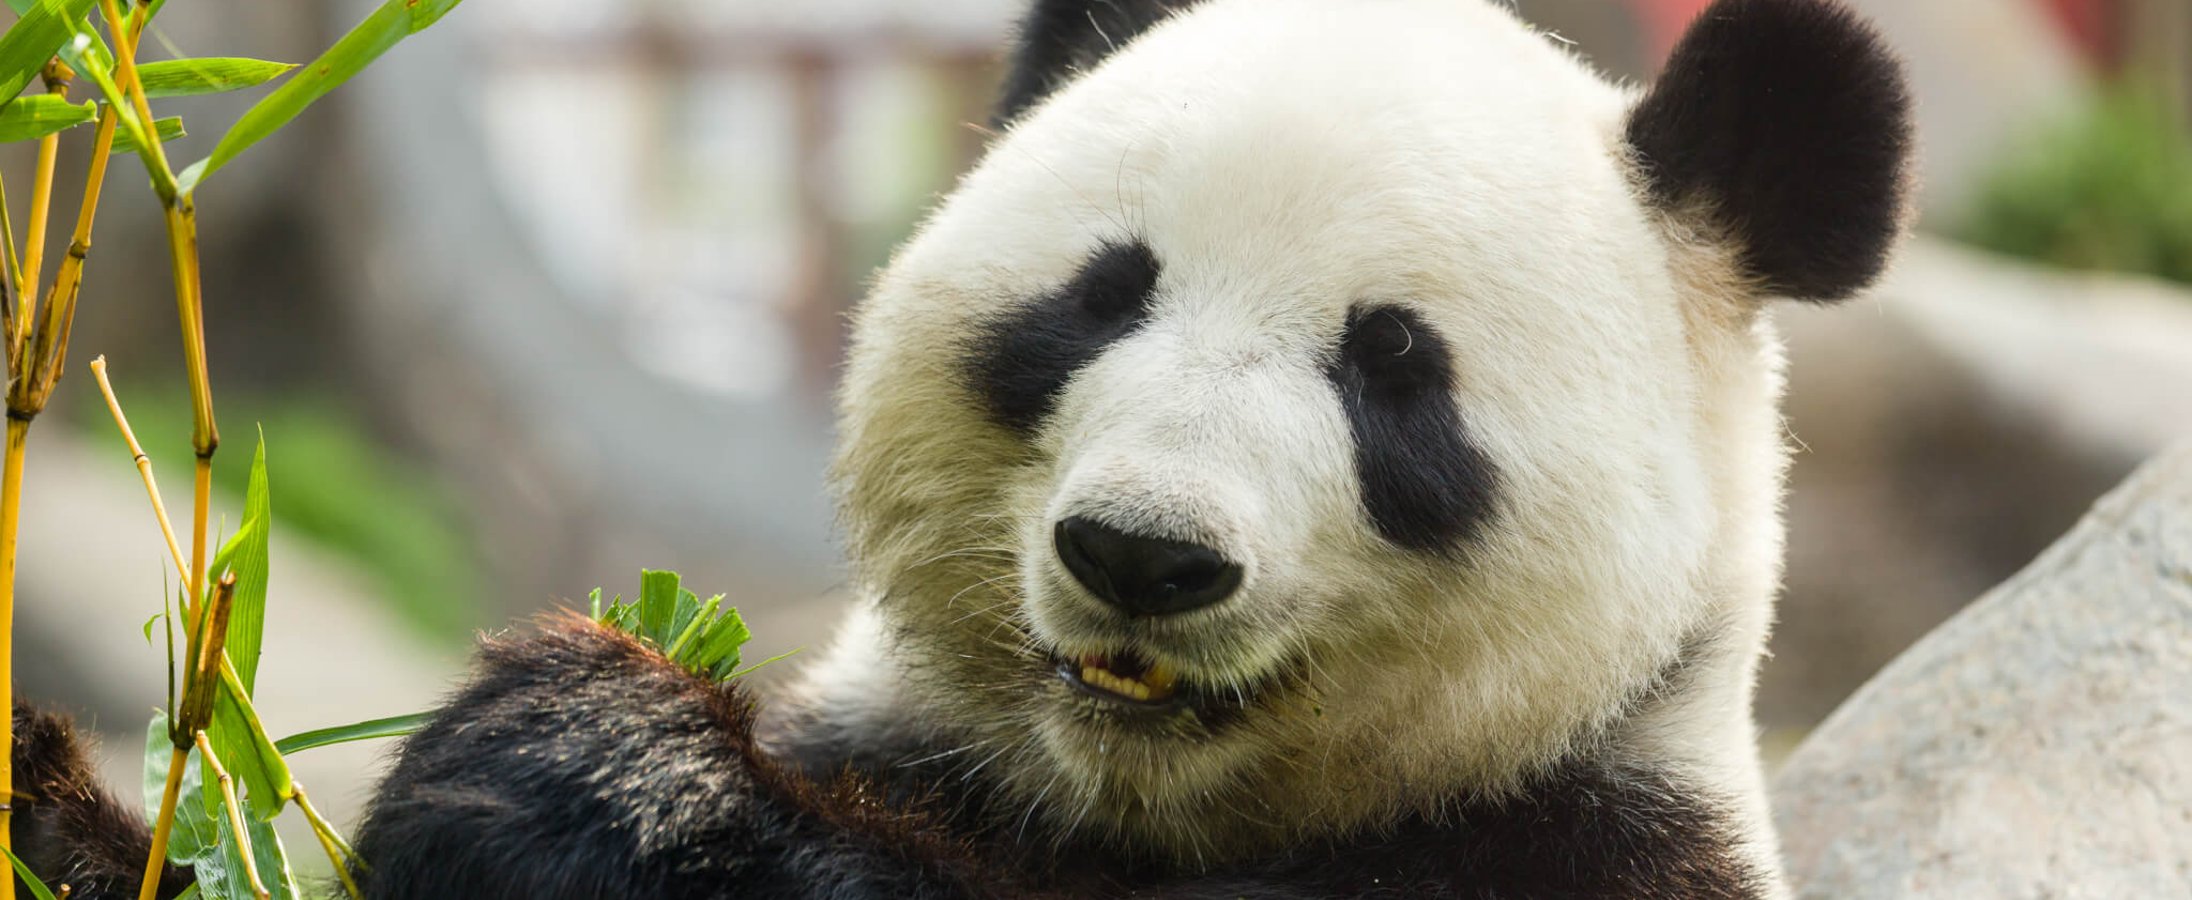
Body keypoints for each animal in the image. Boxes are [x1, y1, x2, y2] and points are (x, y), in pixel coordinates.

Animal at [10, 0, 1910, 896]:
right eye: (1101, 296)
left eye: (1392, 371)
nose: (1144, 554)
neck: (1116, 814)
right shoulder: (906, 746)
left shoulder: (1563, 859)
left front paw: (588, 762)